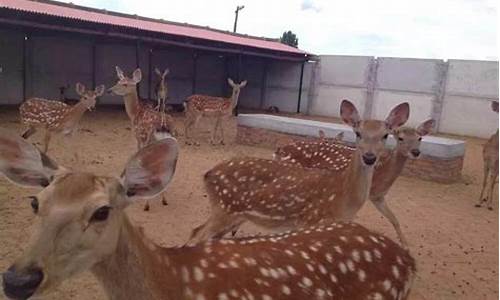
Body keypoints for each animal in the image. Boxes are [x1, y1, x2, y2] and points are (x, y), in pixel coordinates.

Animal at [110, 65, 177, 211]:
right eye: (118, 81)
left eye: (125, 84)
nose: (109, 90)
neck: (135, 114)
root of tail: (163, 124)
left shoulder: (138, 137)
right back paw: (164, 198)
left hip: (148, 138)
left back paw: (147, 204)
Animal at [188, 99, 410, 245]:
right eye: (357, 133)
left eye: (385, 135)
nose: (369, 157)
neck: (342, 199)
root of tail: (207, 174)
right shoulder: (310, 221)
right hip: (225, 208)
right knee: (196, 237)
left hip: (230, 214)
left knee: (196, 232)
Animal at [276, 119, 436, 248]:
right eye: (401, 138)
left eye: (420, 138)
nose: (415, 152)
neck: (381, 176)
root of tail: (278, 150)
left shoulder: (378, 197)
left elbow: (394, 219)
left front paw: (405, 244)